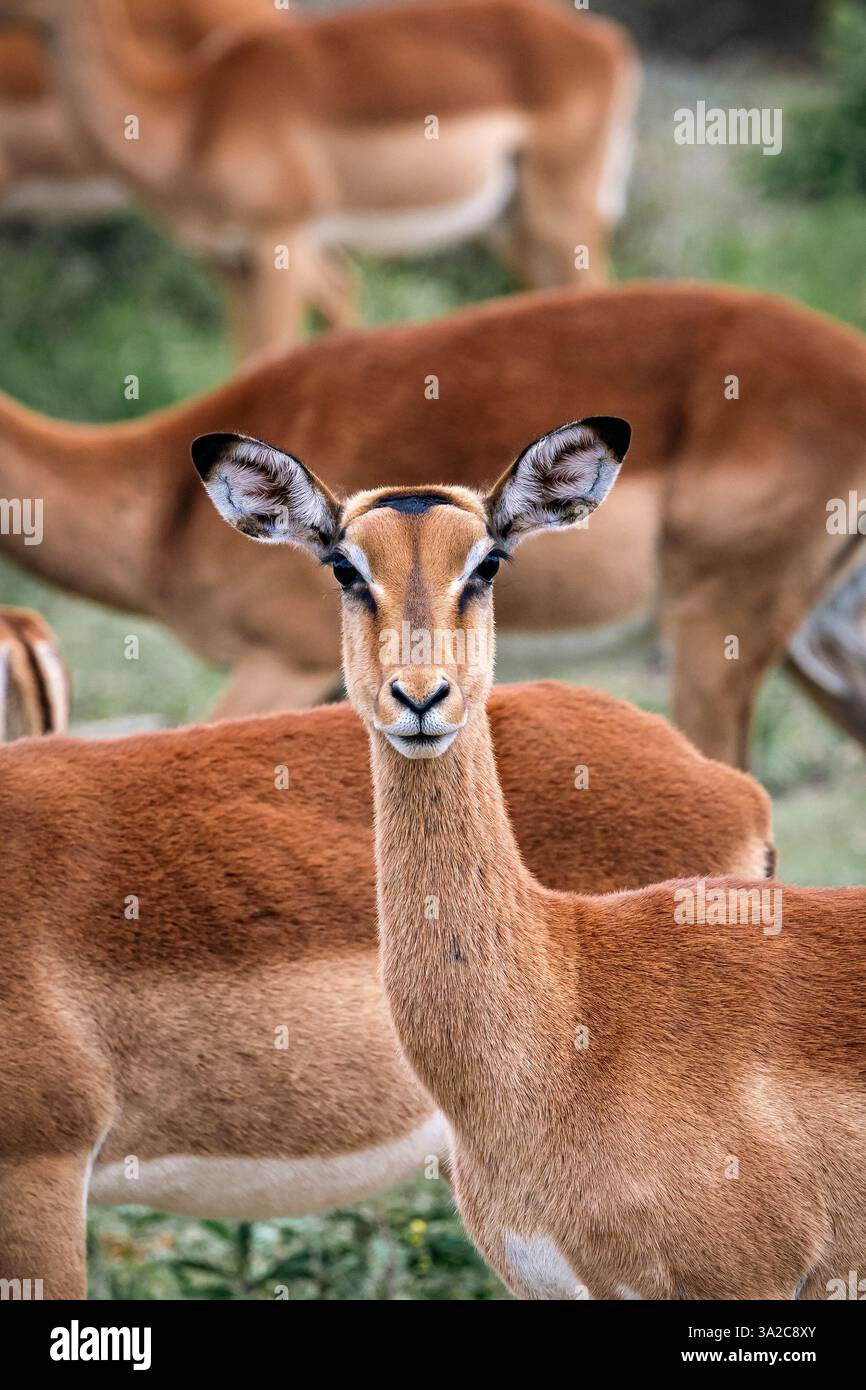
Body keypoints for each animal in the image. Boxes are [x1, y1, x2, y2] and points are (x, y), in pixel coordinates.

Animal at [2, 0, 639, 352]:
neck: (198, 112)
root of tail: (608, 43)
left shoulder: (277, 239)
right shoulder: (230, 258)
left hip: (563, 215)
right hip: (511, 226)